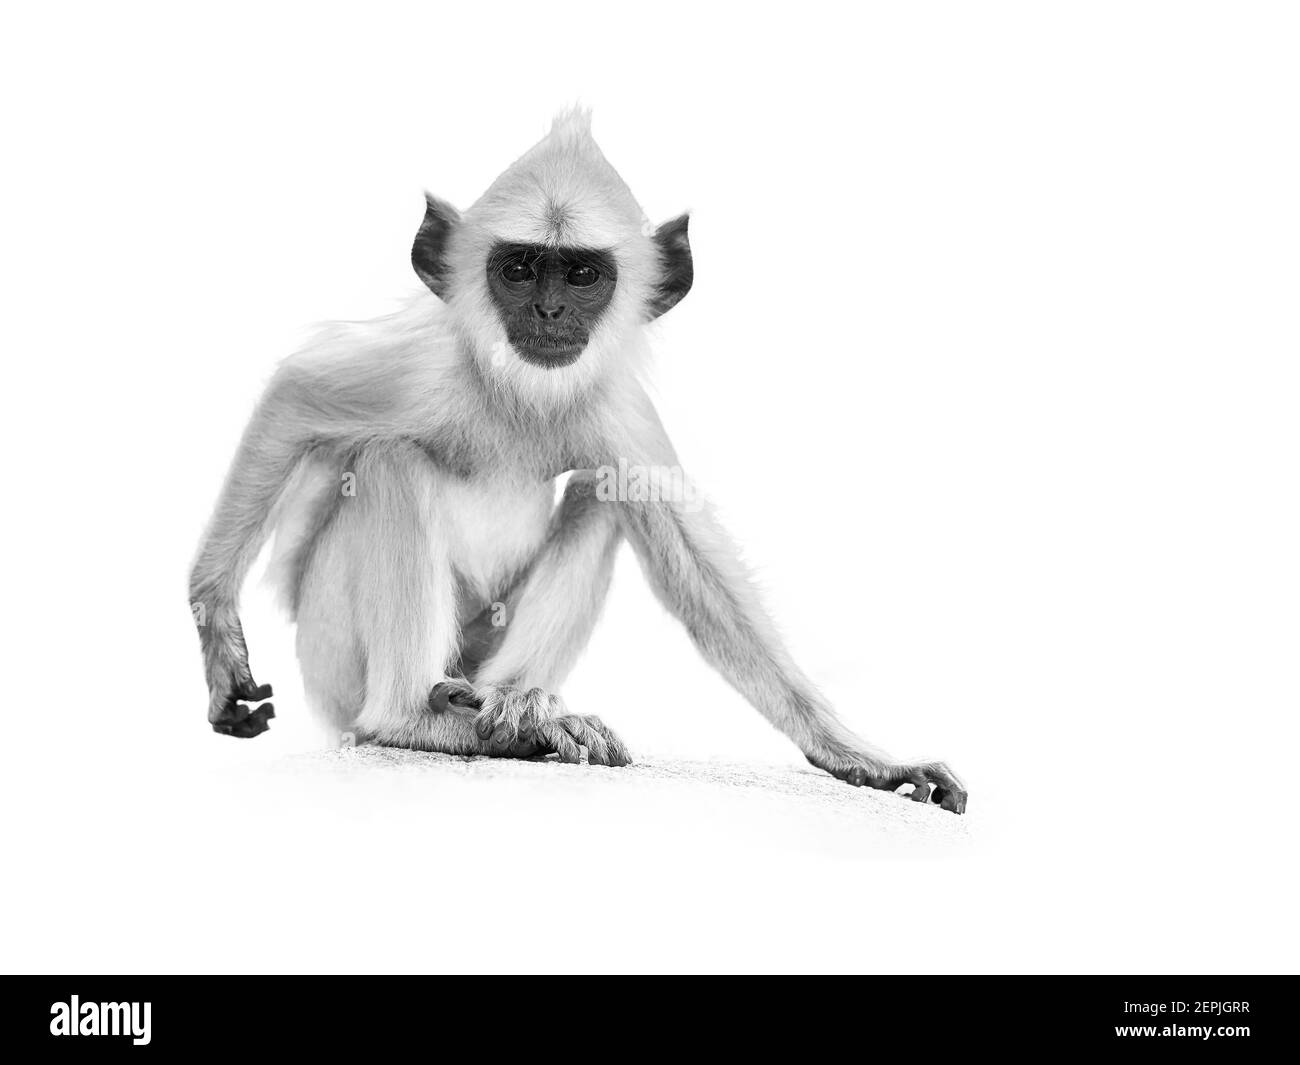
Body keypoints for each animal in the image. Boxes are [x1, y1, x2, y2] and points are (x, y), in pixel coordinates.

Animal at [188, 110, 967, 814]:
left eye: (583, 275)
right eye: (520, 269)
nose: (552, 311)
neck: (516, 396)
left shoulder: (615, 408)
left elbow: (694, 566)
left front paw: (859, 756)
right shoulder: (424, 368)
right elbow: (294, 397)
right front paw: (220, 639)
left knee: (602, 493)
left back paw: (520, 713)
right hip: (333, 667)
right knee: (389, 463)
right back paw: (417, 718)